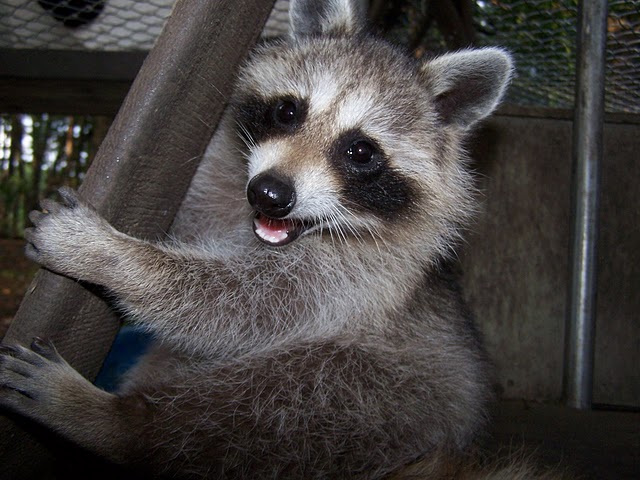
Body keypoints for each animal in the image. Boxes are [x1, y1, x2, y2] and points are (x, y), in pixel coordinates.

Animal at [0, 0, 514, 478]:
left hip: (374, 399)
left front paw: (114, 258)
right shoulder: (223, 181)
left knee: (266, 404)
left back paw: (113, 422)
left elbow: (244, 306)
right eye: (288, 111)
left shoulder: (367, 277)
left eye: (361, 151)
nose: (269, 194)